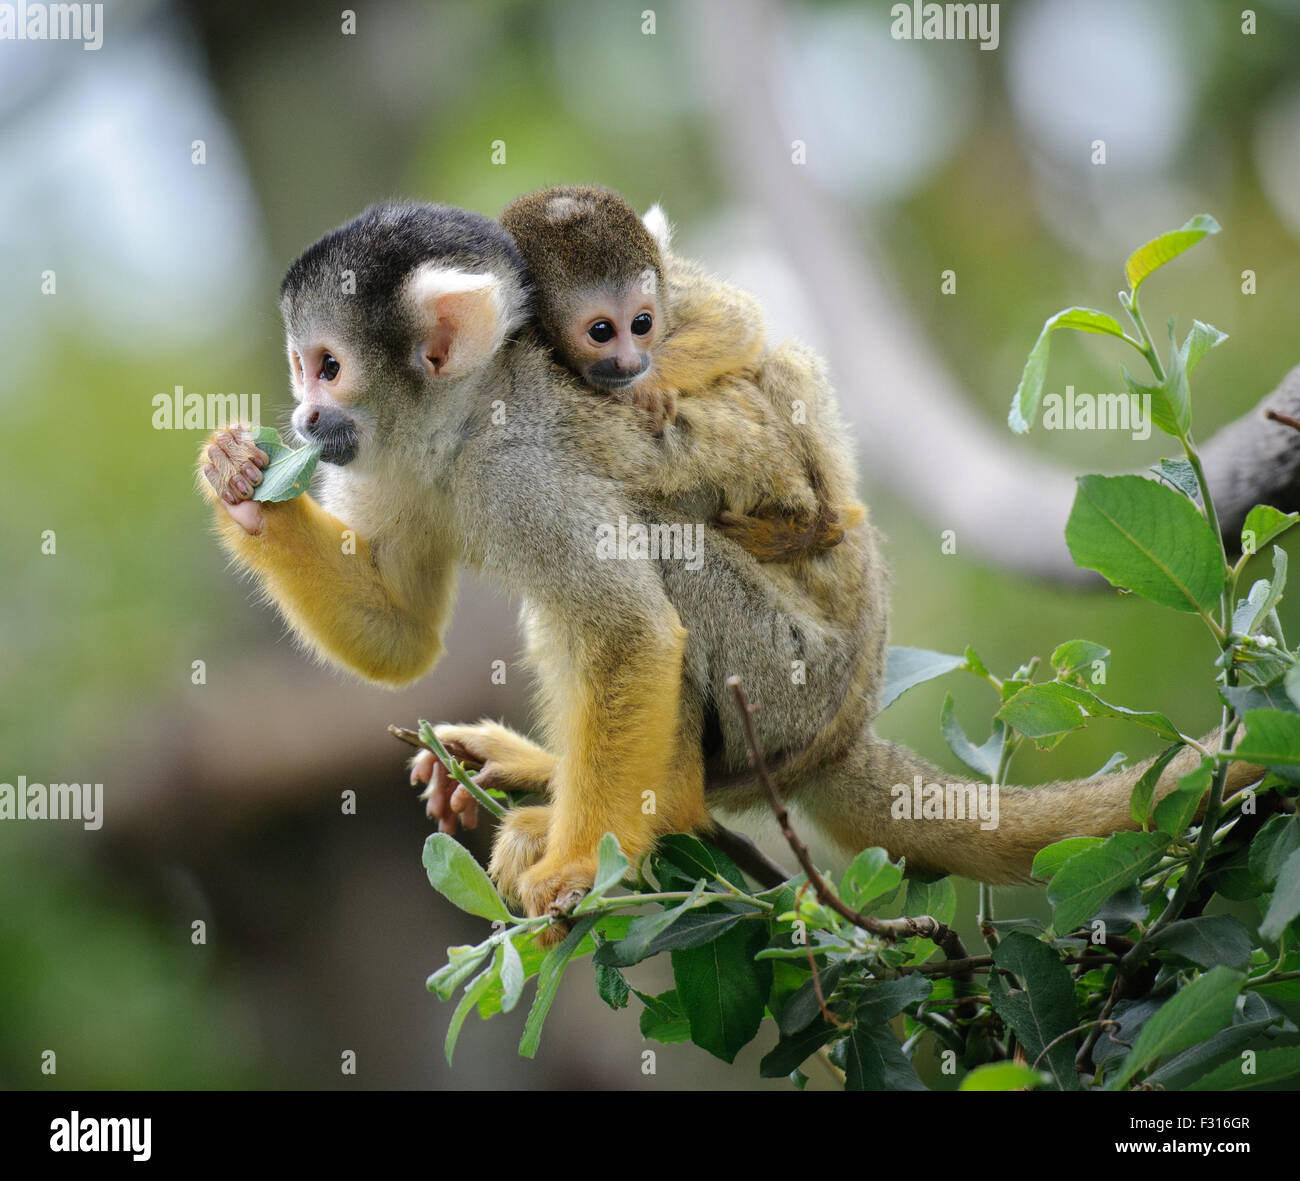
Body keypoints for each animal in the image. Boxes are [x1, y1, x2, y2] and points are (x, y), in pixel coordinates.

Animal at [491, 187, 857, 564]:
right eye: (601, 332)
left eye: (642, 324)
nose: (631, 364)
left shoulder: (673, 289)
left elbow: (738, 322)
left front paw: (648, 388)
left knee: (784, 364)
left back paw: (818, 530)